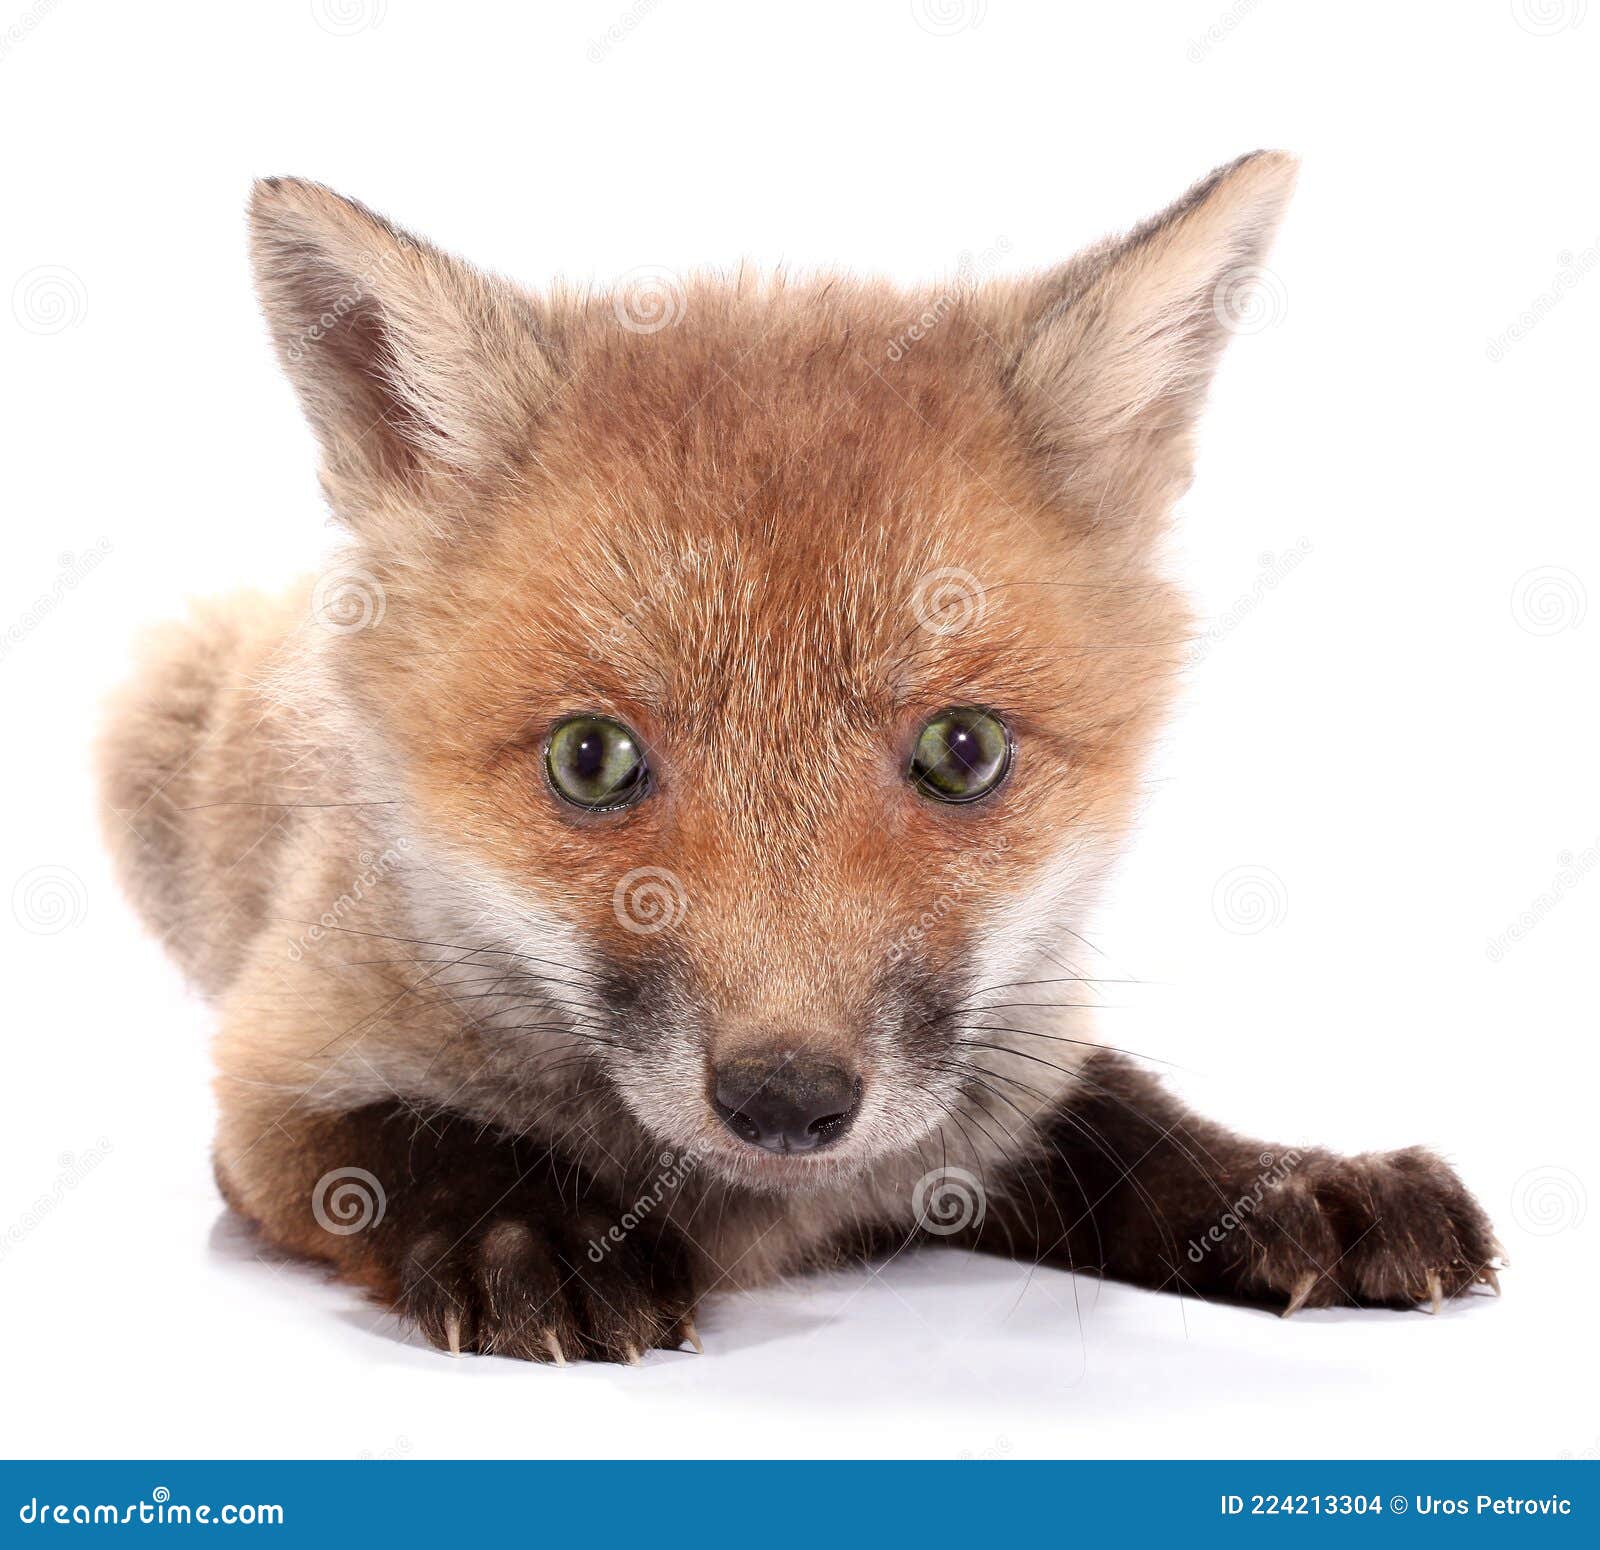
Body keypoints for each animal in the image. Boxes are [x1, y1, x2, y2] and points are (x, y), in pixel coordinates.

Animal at [98, 151, 1501, 1365]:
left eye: (961, 750)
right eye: (592, 760)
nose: (786, 1100)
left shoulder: (1009, 1059)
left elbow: (1118, 1117)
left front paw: (1285, 1179)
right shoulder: (270, 1077)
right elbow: (409, 1143)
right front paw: (538, 1233)